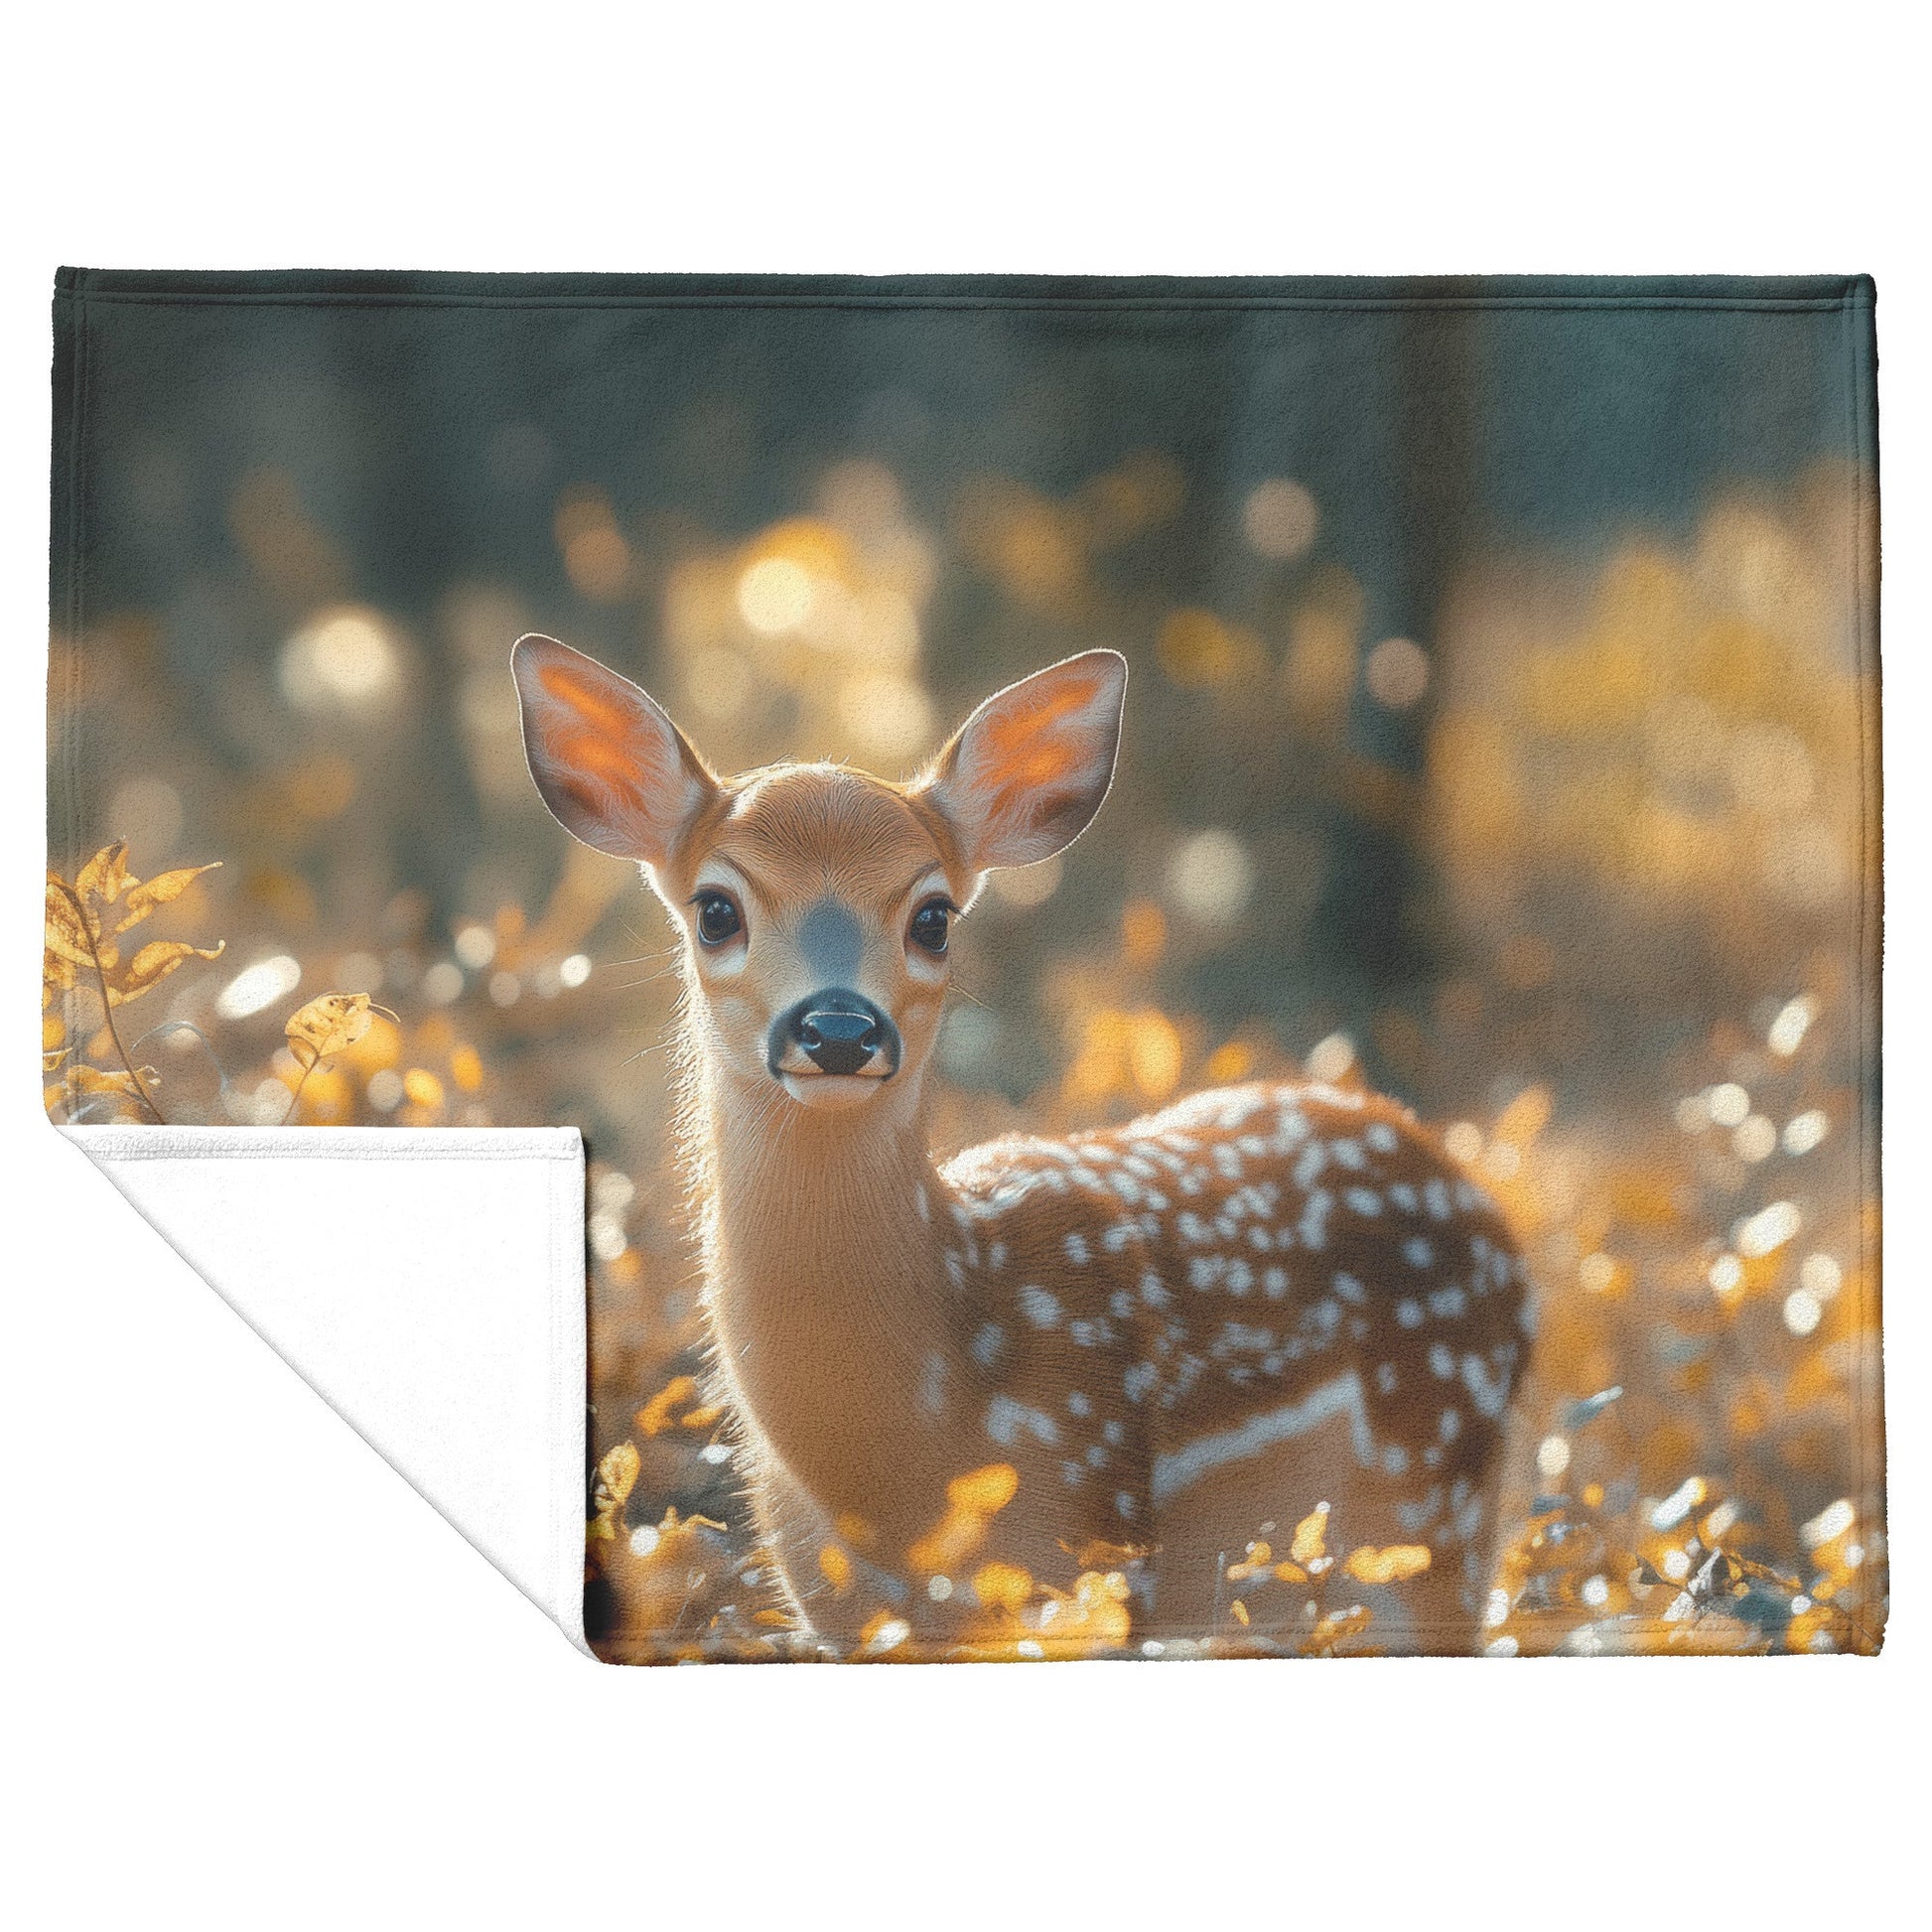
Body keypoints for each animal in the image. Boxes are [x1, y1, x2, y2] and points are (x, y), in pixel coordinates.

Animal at [513, 633, 1531, 1656]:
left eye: (933, 916)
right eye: (716, 908)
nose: (838, 1029)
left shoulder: (1095, 1531)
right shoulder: (830, 1604)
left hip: (1438, 1510)